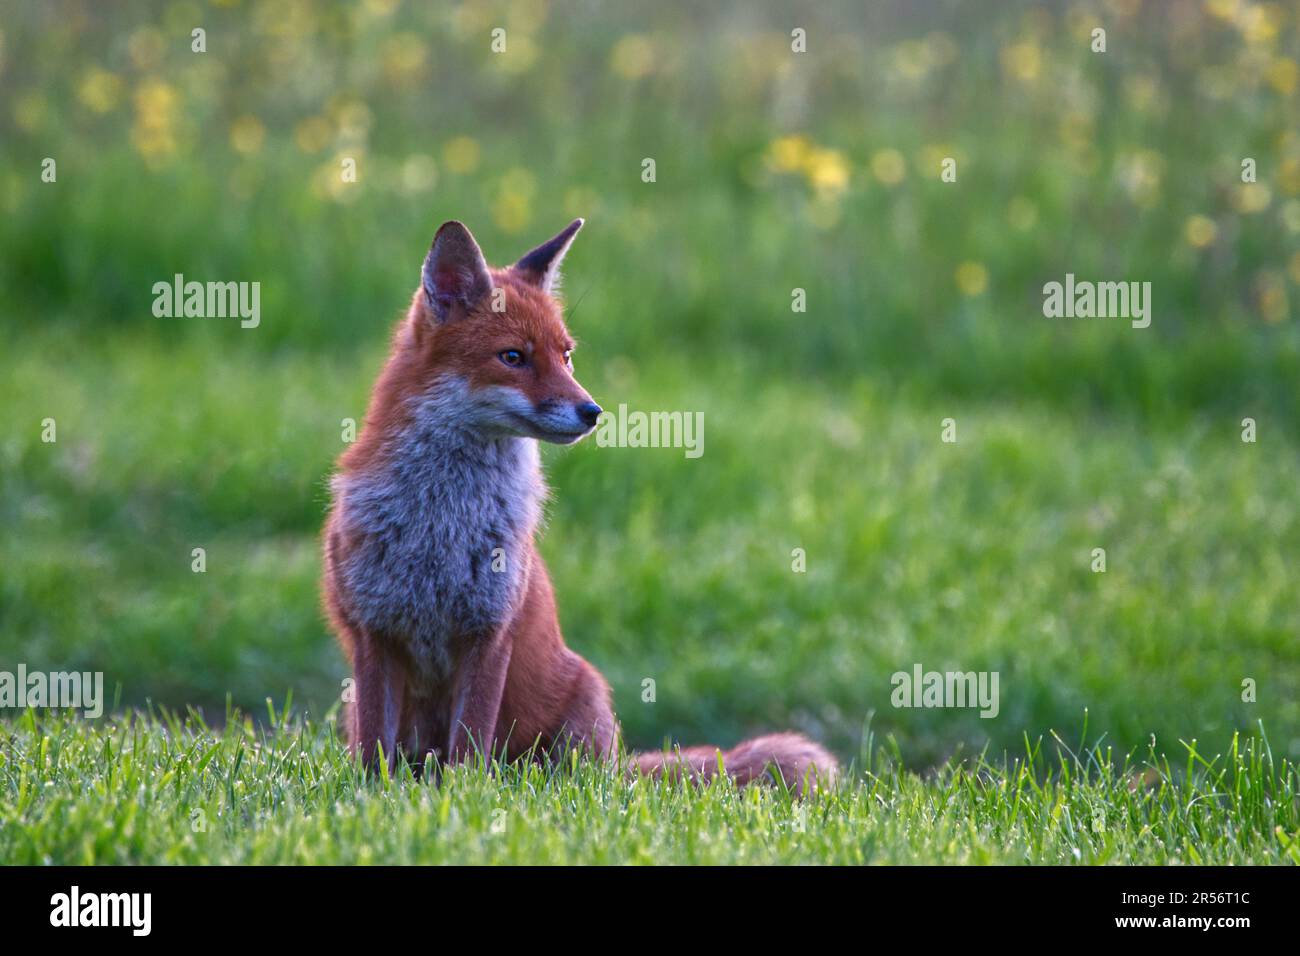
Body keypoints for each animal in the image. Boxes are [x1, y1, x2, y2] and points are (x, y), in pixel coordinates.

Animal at [322, 218, 837, 793]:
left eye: (566, 356)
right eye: (513, 357)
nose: (593, 411)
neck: (443, 521)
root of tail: (617, 766)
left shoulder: (490, 630)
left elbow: (470, 749)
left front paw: (462, 795)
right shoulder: (374, 631)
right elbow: (374, 752)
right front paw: (373, 795)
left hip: (580, 715)